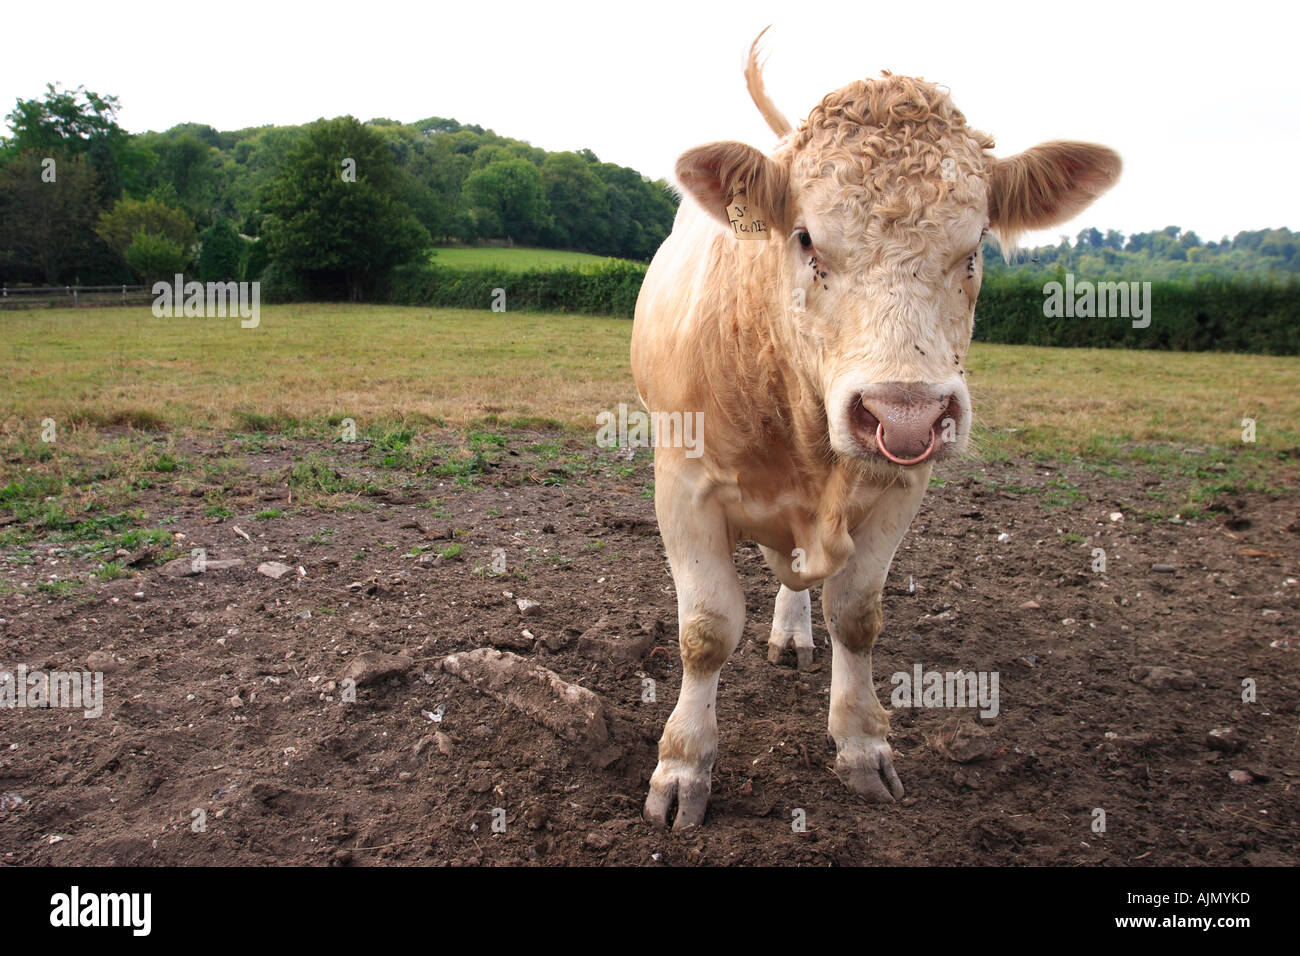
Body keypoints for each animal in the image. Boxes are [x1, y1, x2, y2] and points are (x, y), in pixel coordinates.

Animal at [631, 33, 1120, 828]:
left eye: (975, 244)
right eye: (805, 238)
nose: (905, 413)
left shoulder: (900, 485)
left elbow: (857, 616)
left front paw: (862, 745)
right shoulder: (683, 481)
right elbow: (705, 630)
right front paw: (683, 765)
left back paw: (793, 631)